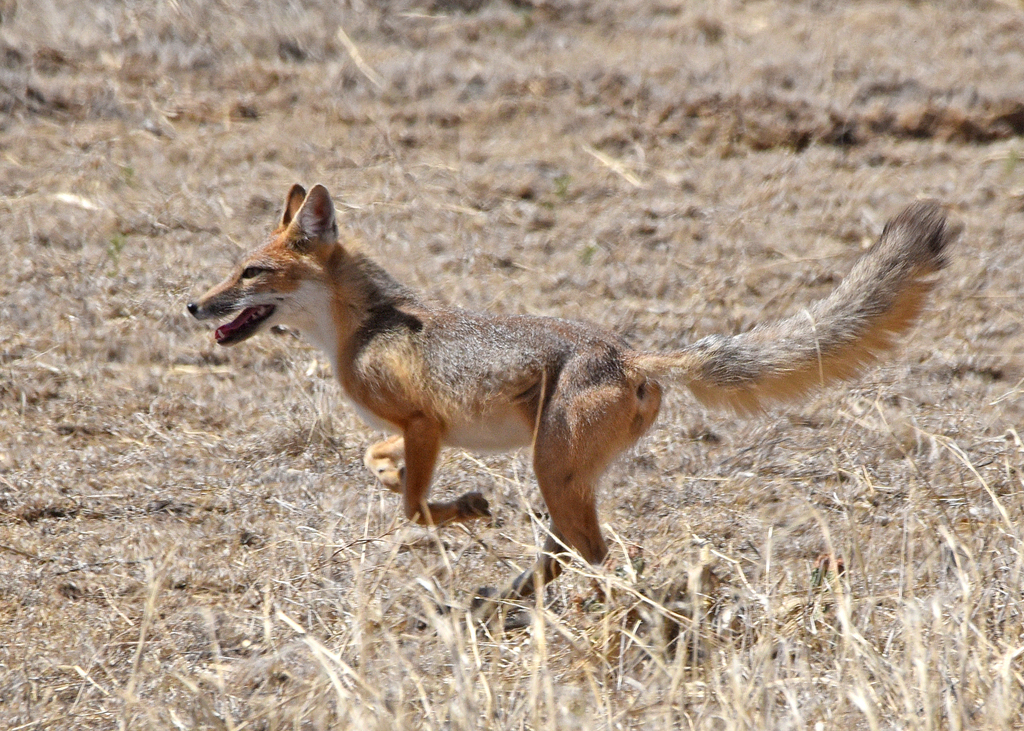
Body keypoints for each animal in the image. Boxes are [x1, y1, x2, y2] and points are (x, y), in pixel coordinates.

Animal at [188, 183, 952, 620]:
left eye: (250, 272)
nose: (194, 304)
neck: (363, 326)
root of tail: (631, 354)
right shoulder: (412, 429)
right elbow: (377, 462)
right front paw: (416, 483)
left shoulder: (426, 423)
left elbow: (412, 506)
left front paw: (465, 506)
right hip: (559, 475)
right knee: (566, 549)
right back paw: (513, 600)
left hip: (550, 469)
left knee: (599, 553)